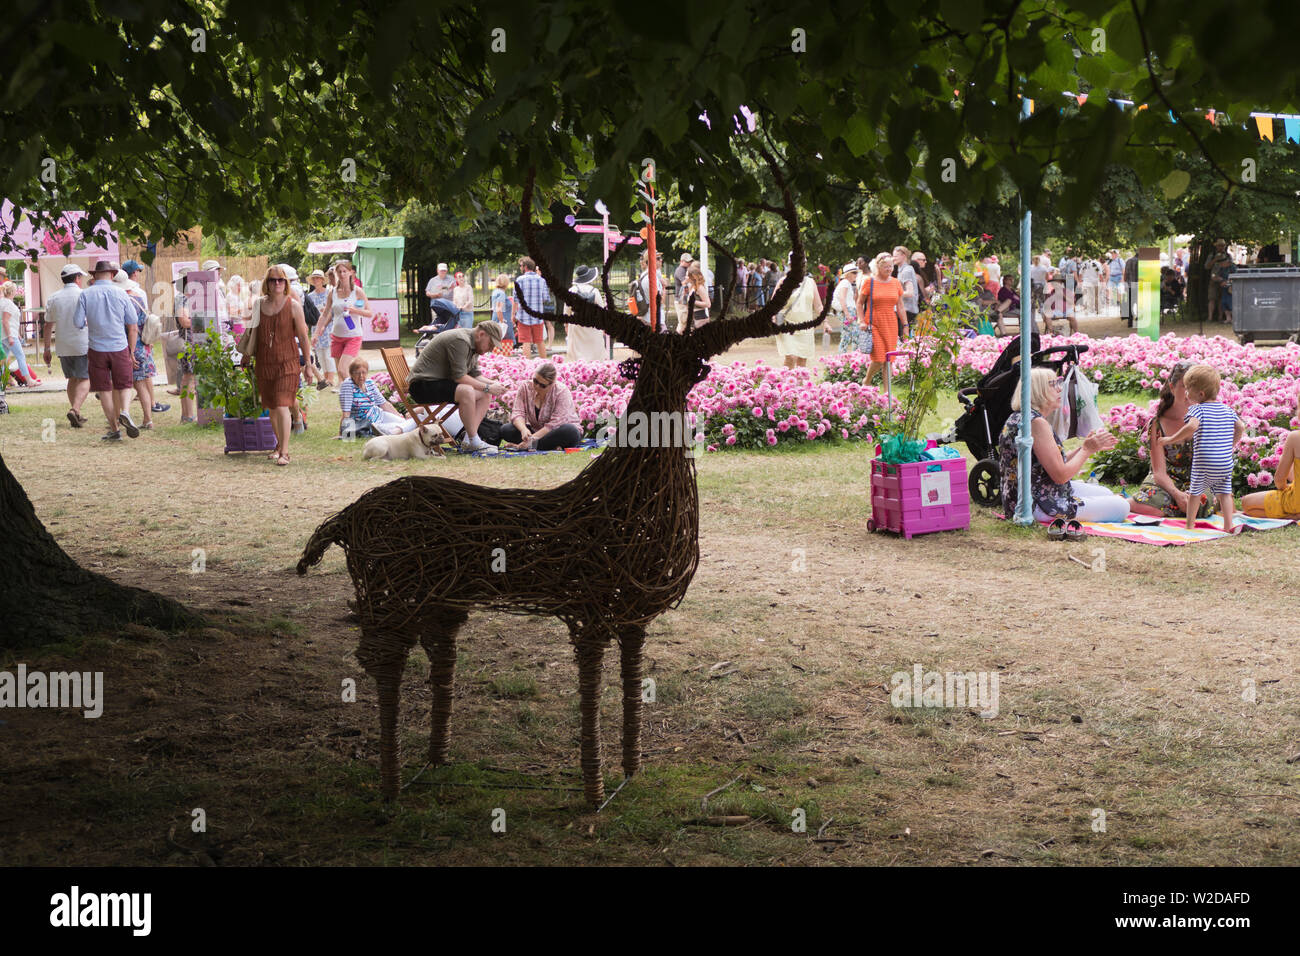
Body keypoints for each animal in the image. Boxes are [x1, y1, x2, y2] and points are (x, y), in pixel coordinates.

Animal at [297, 153, 832, 806]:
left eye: (690, 364)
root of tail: (346, 520)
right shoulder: (591, 609)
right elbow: (591, 690)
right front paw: (594, 792)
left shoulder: (634, 614)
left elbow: (632, 682)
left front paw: (632, 771)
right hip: (388, 598)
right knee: (380, 663)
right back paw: (391, 790)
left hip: (439, 602)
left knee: (438, 655)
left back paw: (436, 761)